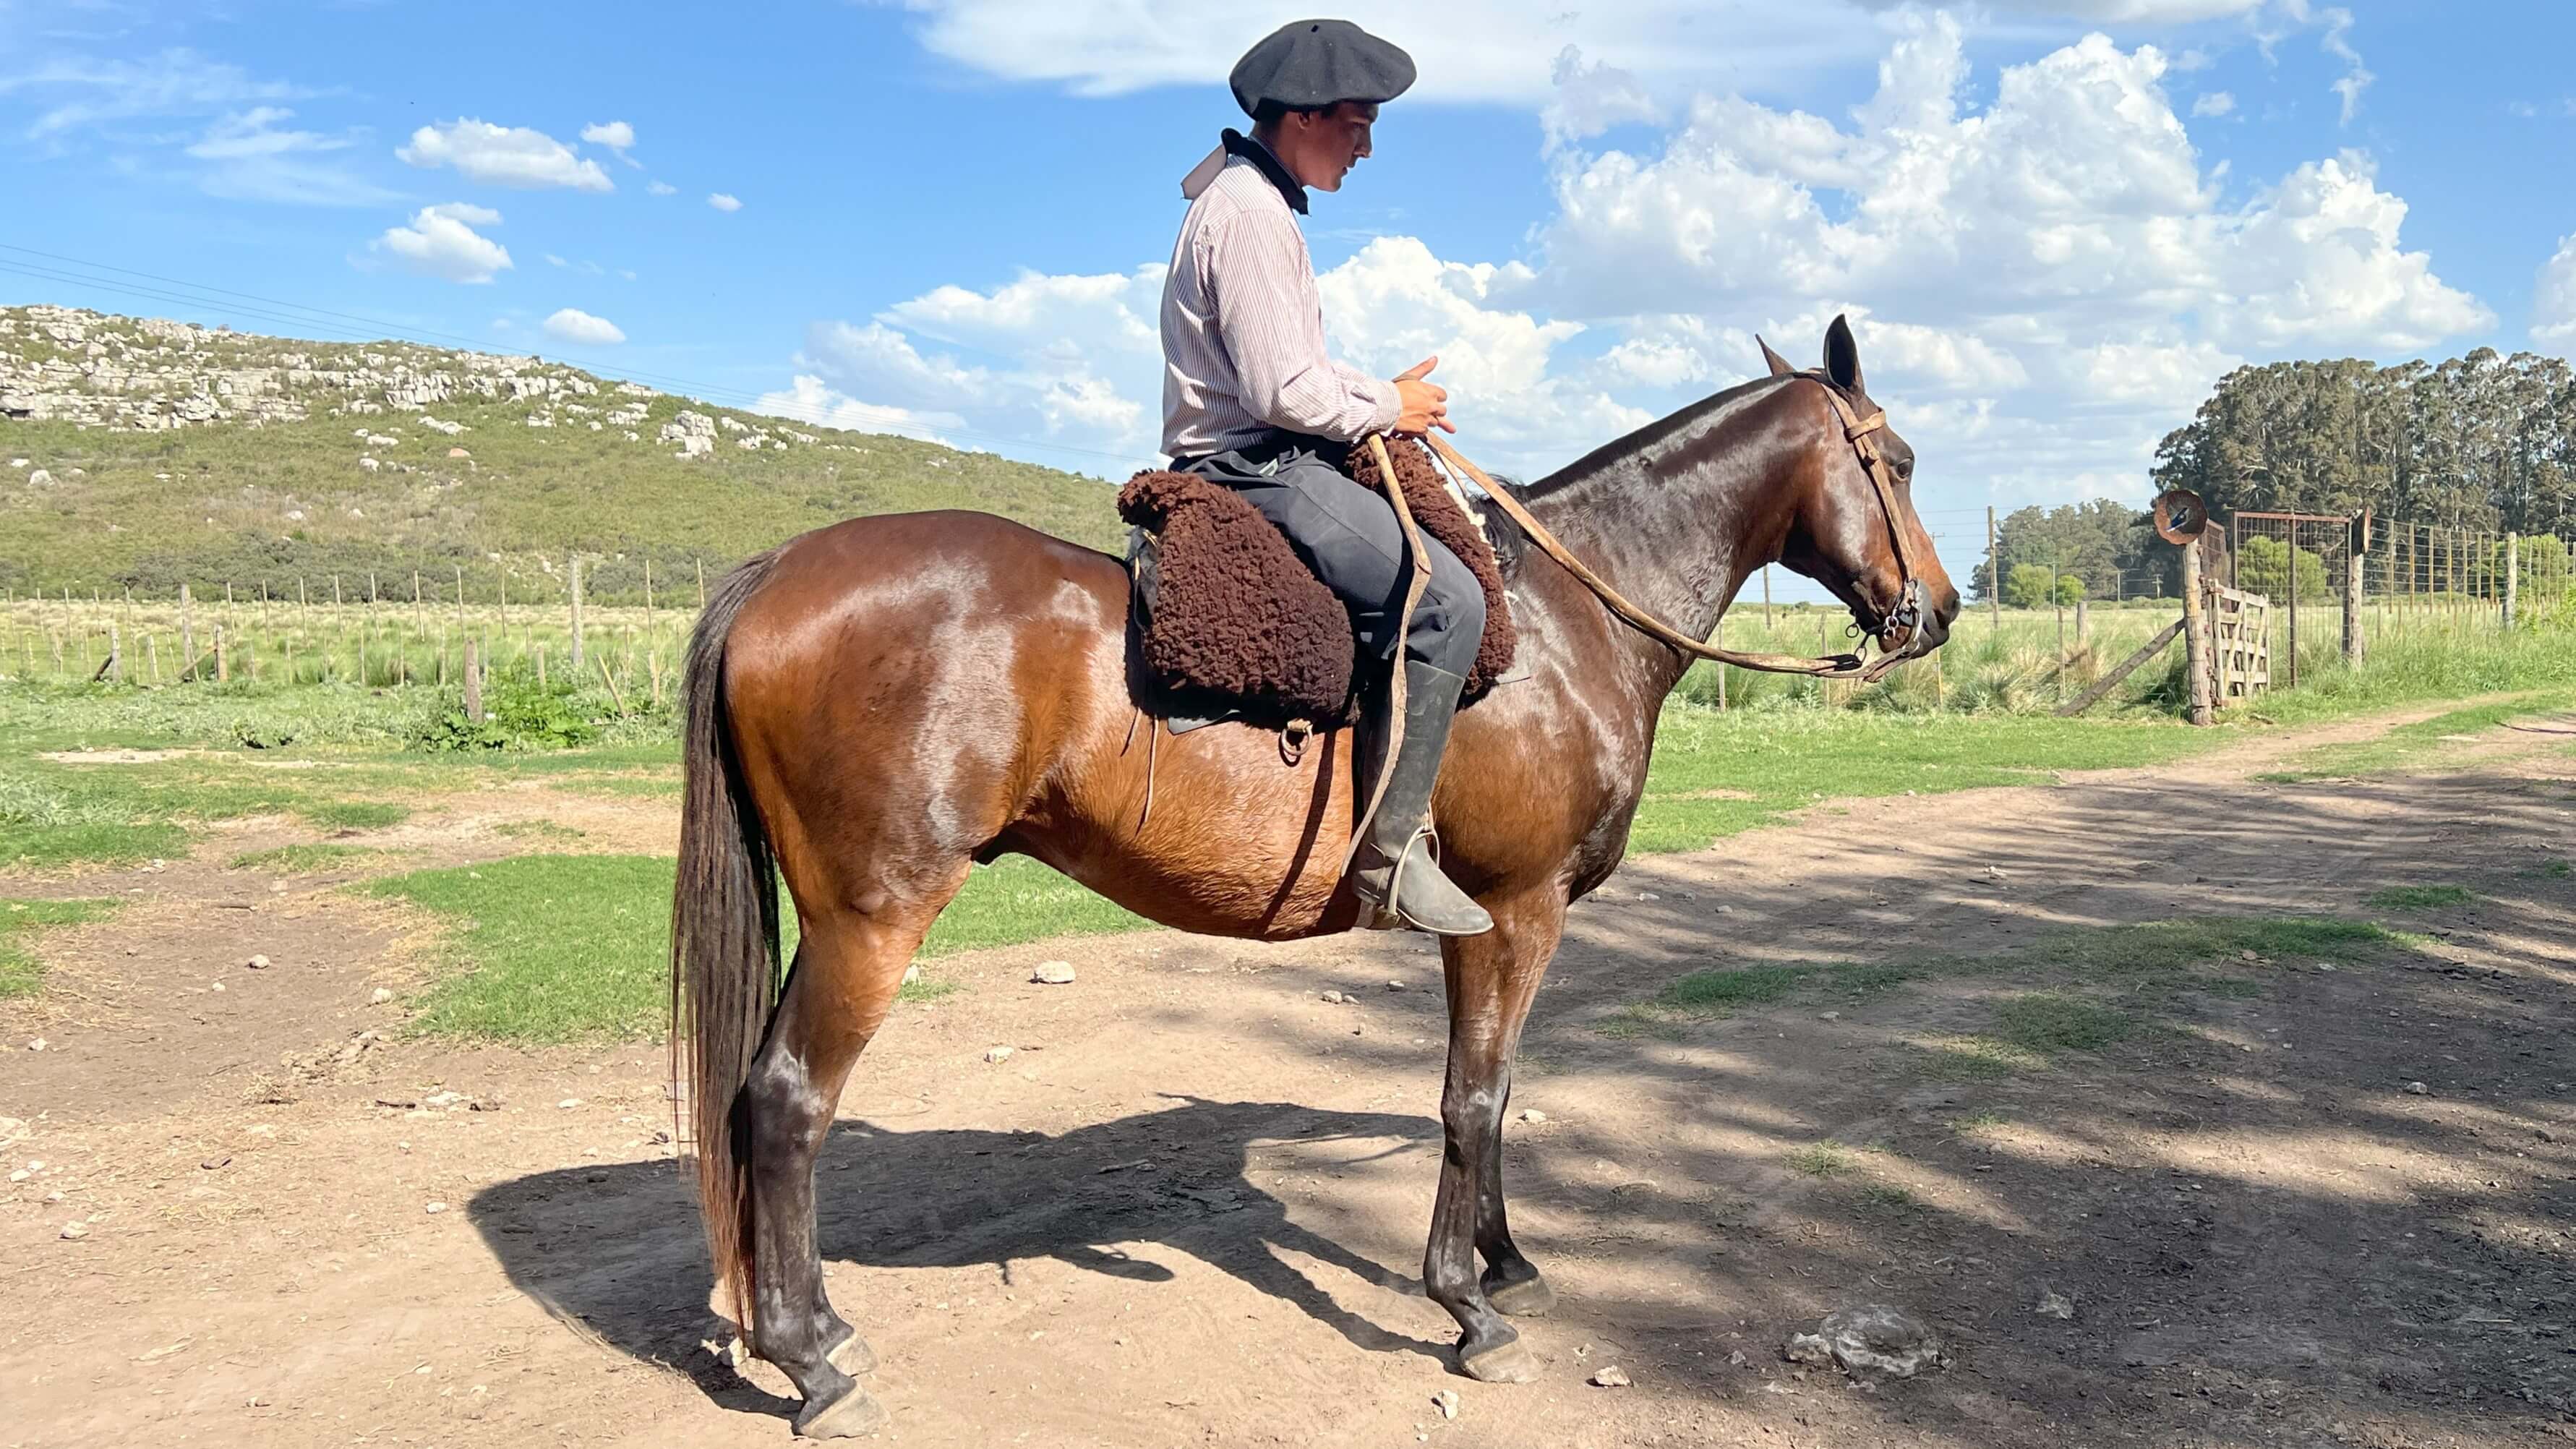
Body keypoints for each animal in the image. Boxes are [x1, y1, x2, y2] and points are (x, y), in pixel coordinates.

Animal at [670, 315, 1961, 1436]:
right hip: (873, 921)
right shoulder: (1516, 912)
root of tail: (773, 573)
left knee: (758, 1103)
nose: (1939, 612)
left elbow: (1491, 1092)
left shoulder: (1491, 924)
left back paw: (816, 1334)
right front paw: (1464, 1305)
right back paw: (808, 1363)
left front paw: (1505, 1260)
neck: (1565, 620)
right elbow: (1471, 1098)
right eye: (1895, 462)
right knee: (785, 1102)